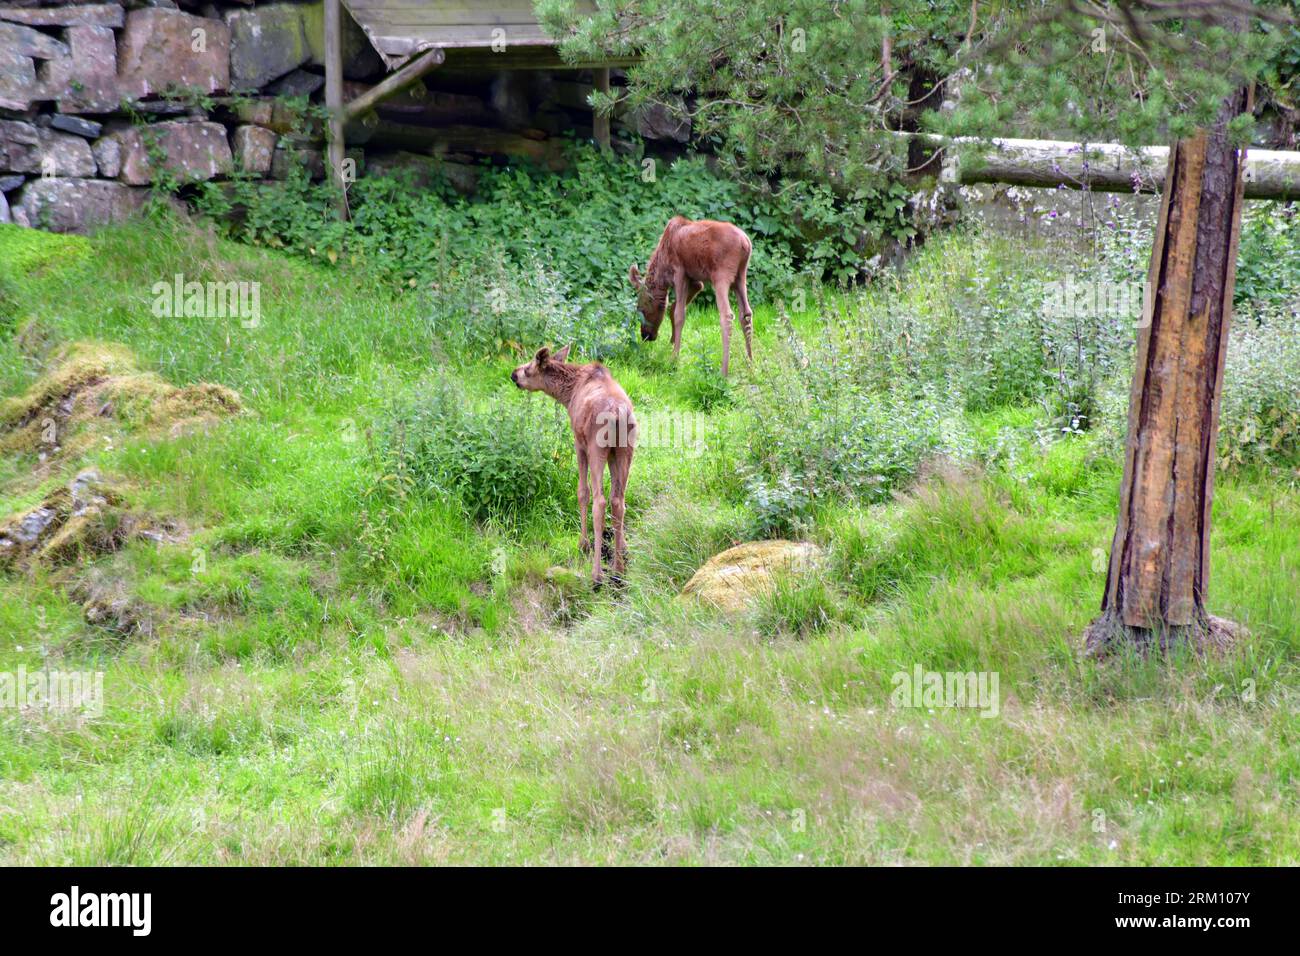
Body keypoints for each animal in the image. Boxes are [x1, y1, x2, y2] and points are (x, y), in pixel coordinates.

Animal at [511, 345, 636, 587]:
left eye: (529, 367)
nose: (514, 374)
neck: (567, 395)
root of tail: (619, 414)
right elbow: (616, 500)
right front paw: (623, 547)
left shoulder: (579, 444)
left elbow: (582, 492)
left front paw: (583, 543)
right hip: (626, 449)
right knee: (619, 501)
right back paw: (618, 570)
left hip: (597, 448)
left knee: (600, 501)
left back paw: (597, 574)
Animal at [629, 216, 754, 377]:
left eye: (641, 310)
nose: (646, 336)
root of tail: (746, 243)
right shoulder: (696, 281)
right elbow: (672, 309)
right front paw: (672, 342)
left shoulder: (680, 272)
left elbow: (679, 314)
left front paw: (674, 358)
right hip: (740, 277)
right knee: (746, 313)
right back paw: (751, 364)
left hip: (721, 275)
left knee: (726, 315)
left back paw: (724, 371)